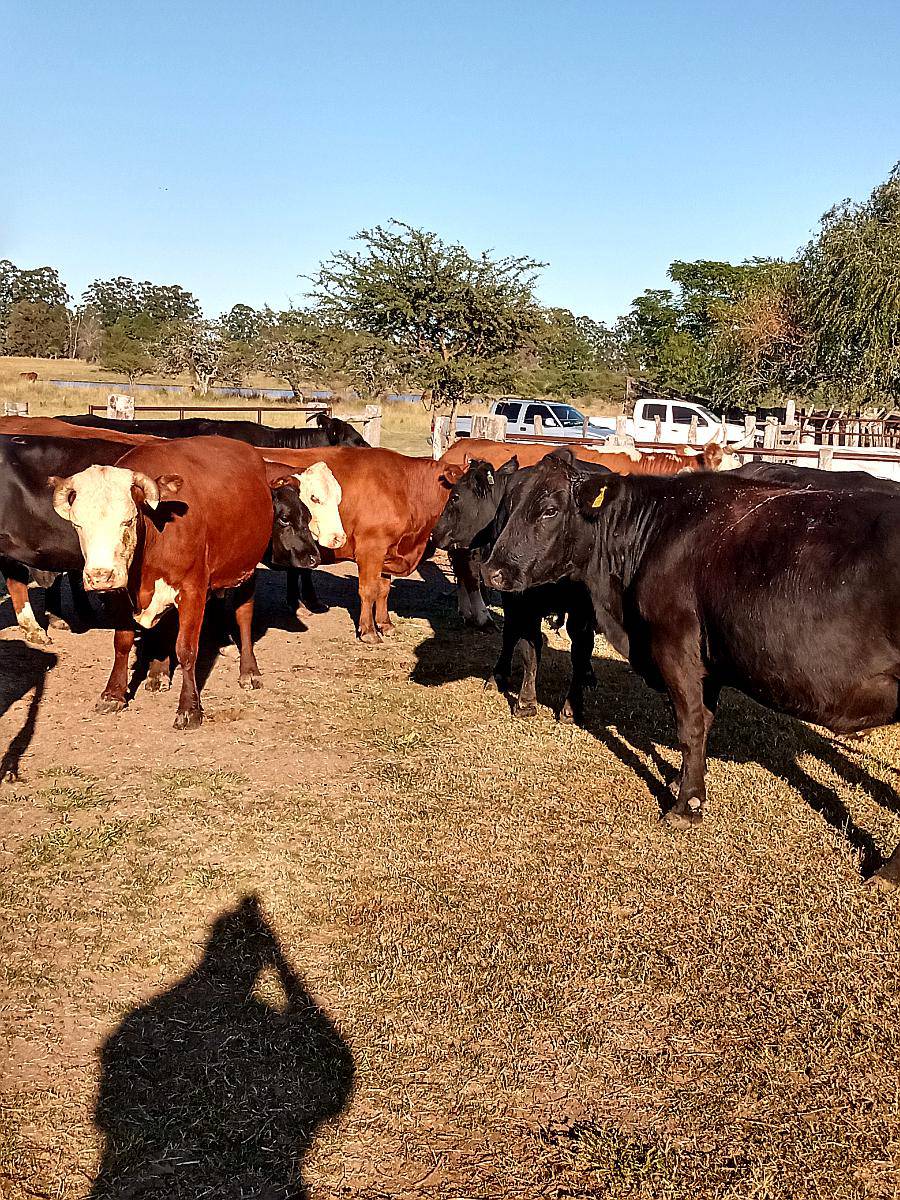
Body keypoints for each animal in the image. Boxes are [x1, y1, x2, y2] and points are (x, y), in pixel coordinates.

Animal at [50, 437, 299, 727]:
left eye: (128, 521)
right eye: (78, 525)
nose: (100, 576)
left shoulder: (192, 590)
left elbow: (187, 649)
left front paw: (189, 707)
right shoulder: (119, 595)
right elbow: (122, 643)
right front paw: (113, 693)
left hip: (246, 570)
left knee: (244, 616)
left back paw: (248, 670)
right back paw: (158, 673)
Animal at [256, 446, 455, 642]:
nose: (338, 538)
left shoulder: (387, 552)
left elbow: (384, 590)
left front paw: (385, 623)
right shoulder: (371, 550)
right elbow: (368, 590)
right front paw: (368, 631)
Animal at [432, 456, 606, 723]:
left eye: (455, 497)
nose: (435, 533)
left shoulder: (581, 610)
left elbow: (578, 648)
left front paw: (571, 706)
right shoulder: (518, 601)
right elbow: (525, 644)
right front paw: (518, 692)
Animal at [482, 447, 900, 888]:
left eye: (548, 509)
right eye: (509, 504)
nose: (491, 570)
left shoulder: (674, 645)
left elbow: (689, 727)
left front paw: (687, 806)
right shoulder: (706, 660)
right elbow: (704, 721)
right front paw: (683, 781)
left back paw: (887, 873)